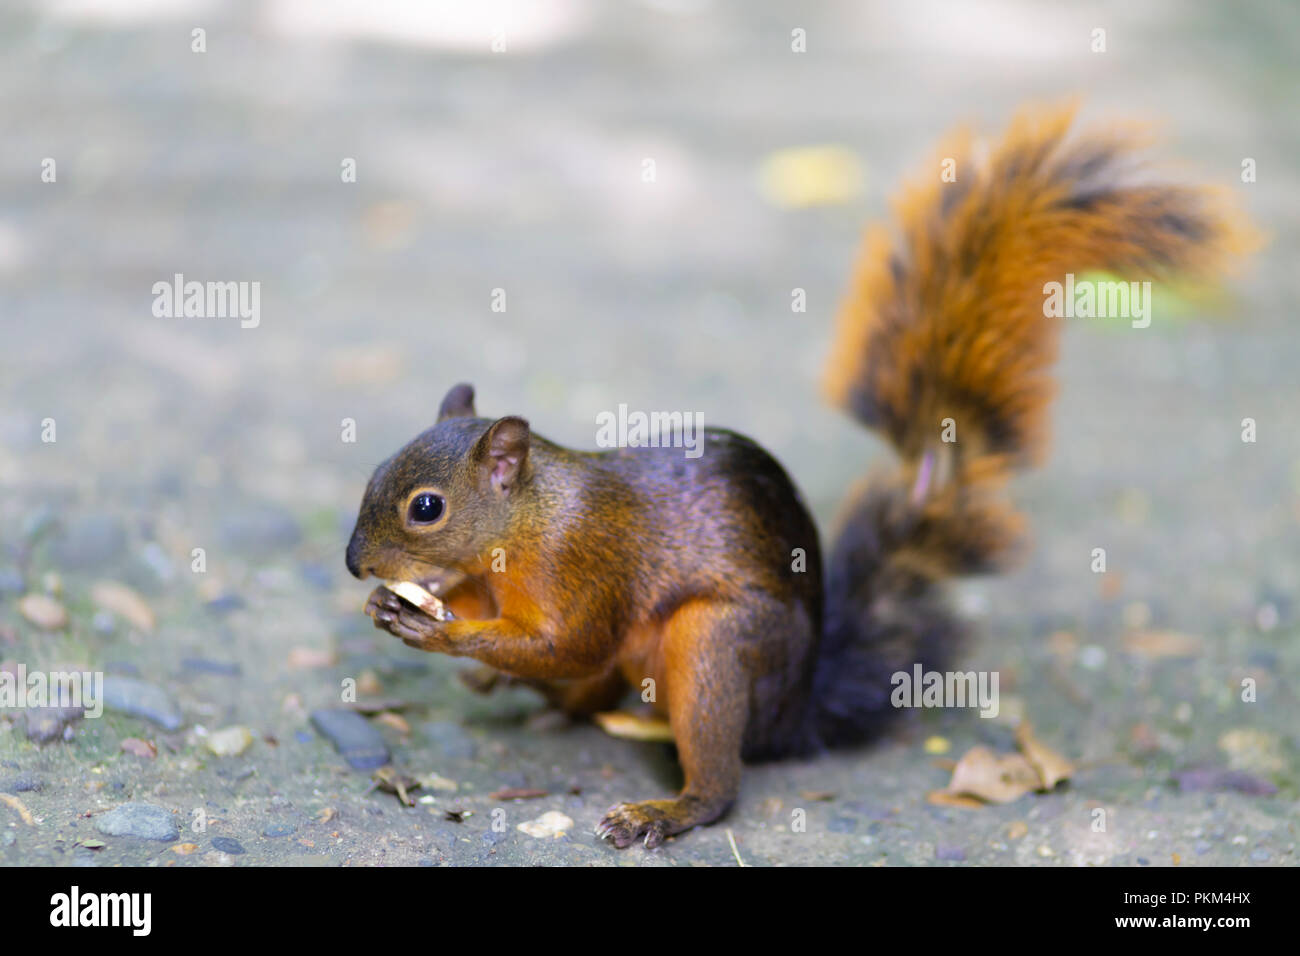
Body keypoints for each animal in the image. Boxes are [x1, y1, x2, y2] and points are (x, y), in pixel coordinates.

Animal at [346, 105, 1253, 848]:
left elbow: (567, 639)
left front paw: (440, 634)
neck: (528, 522)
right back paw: (532, 705)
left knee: (712, 772)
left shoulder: (585, 564)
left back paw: (666, 809)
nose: (356, 563)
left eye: (425, 507)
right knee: (588, 696)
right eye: (374, 473)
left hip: (716, 651)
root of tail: (789, 718)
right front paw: (433, 620)